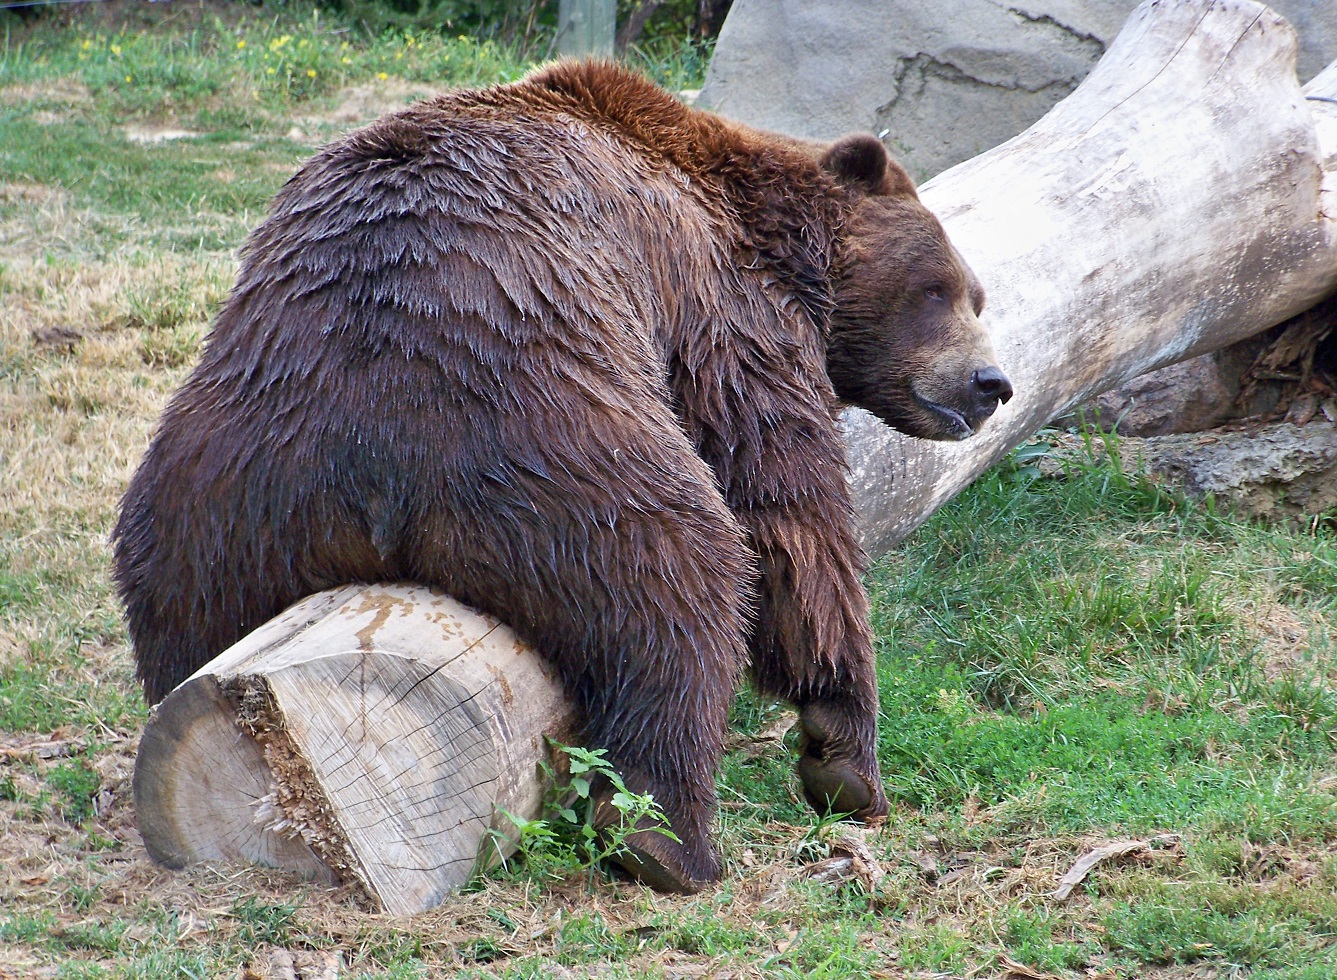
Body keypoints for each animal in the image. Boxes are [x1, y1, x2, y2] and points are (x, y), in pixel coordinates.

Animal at [113, 60, 1012, 893]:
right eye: (940, 289)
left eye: (975, 293)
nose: (989, 384)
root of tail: (373, 467)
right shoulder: (724, 315)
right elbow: (791, 512)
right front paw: (845, 755)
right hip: (558, 439)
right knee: (683, 583)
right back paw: (668, 842)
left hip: (222, 481)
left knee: (178, 614)